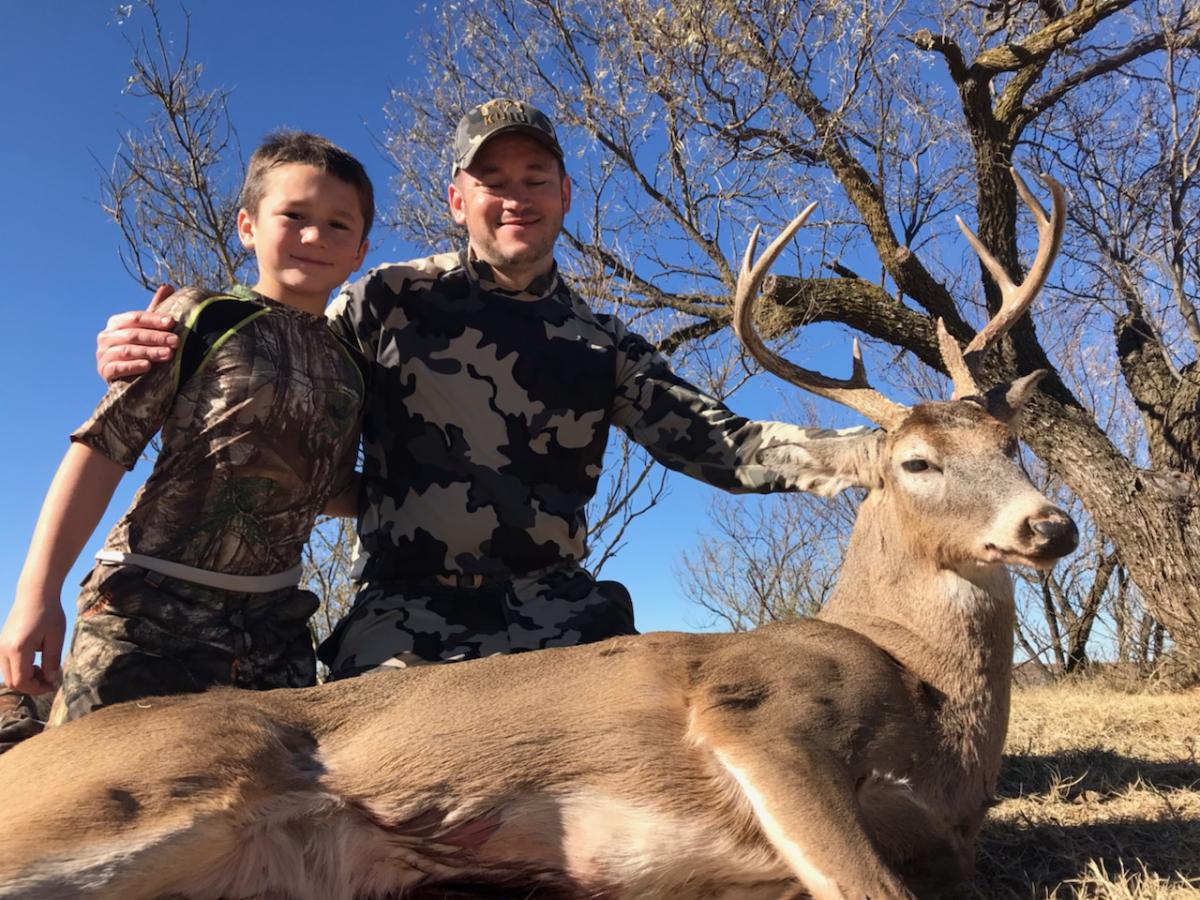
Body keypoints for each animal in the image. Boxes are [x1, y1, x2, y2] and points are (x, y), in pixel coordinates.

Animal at [0, 169, 1076, 900]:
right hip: (167, 773)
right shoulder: (759, 712)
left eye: (1015, 444)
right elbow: (864, 881)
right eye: (917, 463)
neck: (913, 683)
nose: (1052, 525)